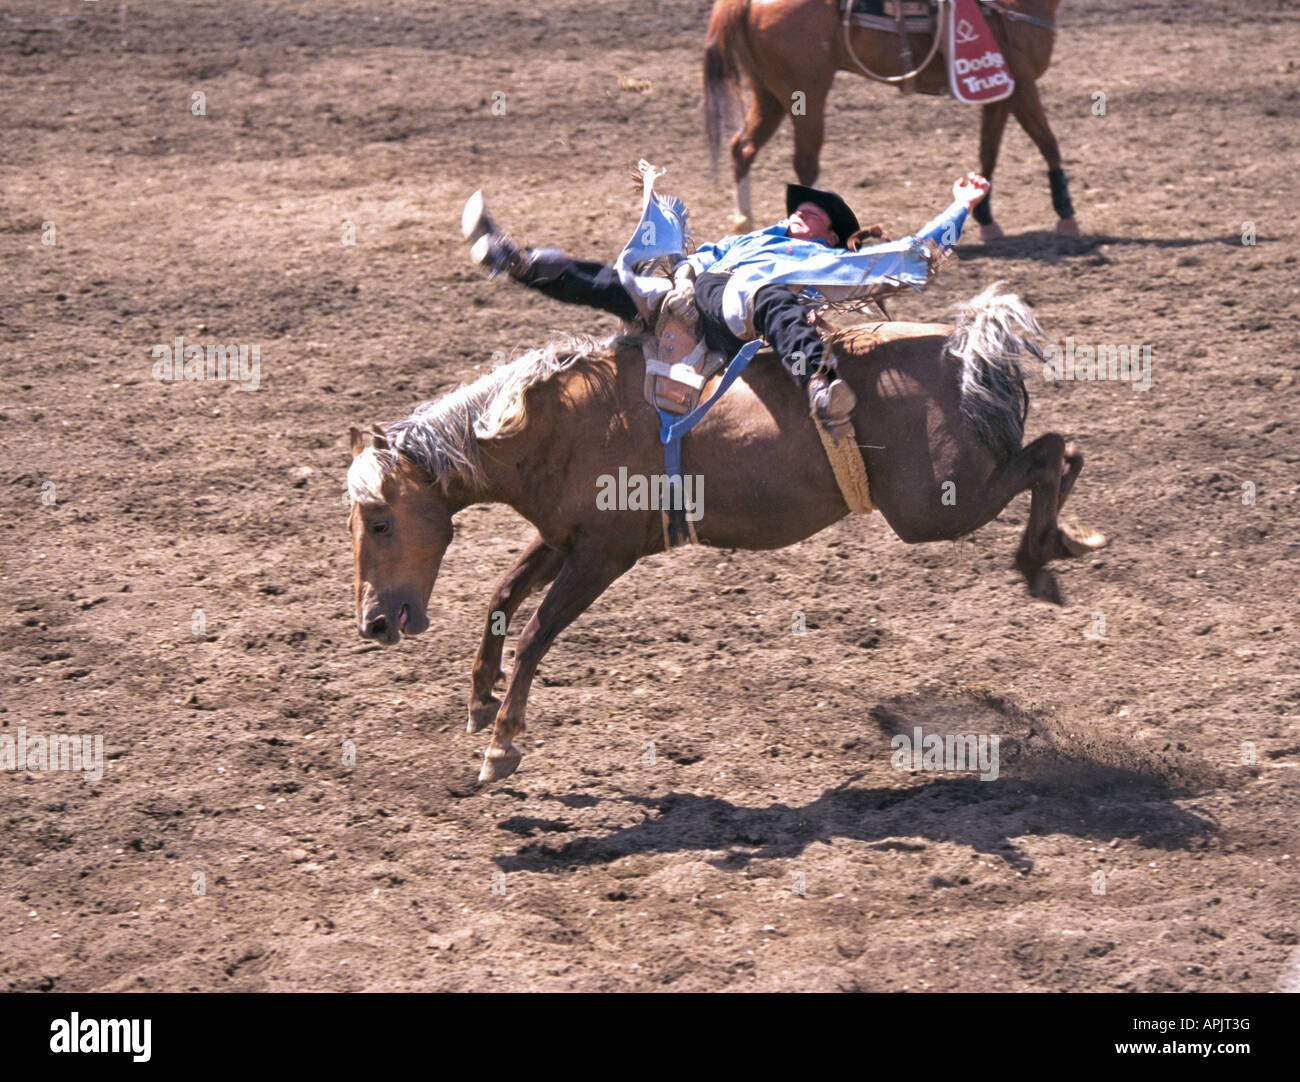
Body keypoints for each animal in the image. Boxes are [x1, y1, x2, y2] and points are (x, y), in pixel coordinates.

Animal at [346, 286, 1105, 786]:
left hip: (936, 508)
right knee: (1058, 452)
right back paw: (1057, 550)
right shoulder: (563, 538)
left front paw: (502, 746)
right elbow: (502, 598)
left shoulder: (603, 554)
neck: (561, 424)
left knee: (1052, 454)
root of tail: (964, 345)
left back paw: (1044, 558)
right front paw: (479, 702)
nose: (374, 623)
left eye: (380, 521)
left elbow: (536, 632)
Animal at [703, 0, 1077, 241]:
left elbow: (989, 153)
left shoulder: (998, 89)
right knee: (804, 163)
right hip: (805, 95)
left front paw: (986, 220)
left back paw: (744, 221)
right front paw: (1066, 215)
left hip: (769, 95)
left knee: (743, 147)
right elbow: (1048, 142)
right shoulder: (1021, 84)